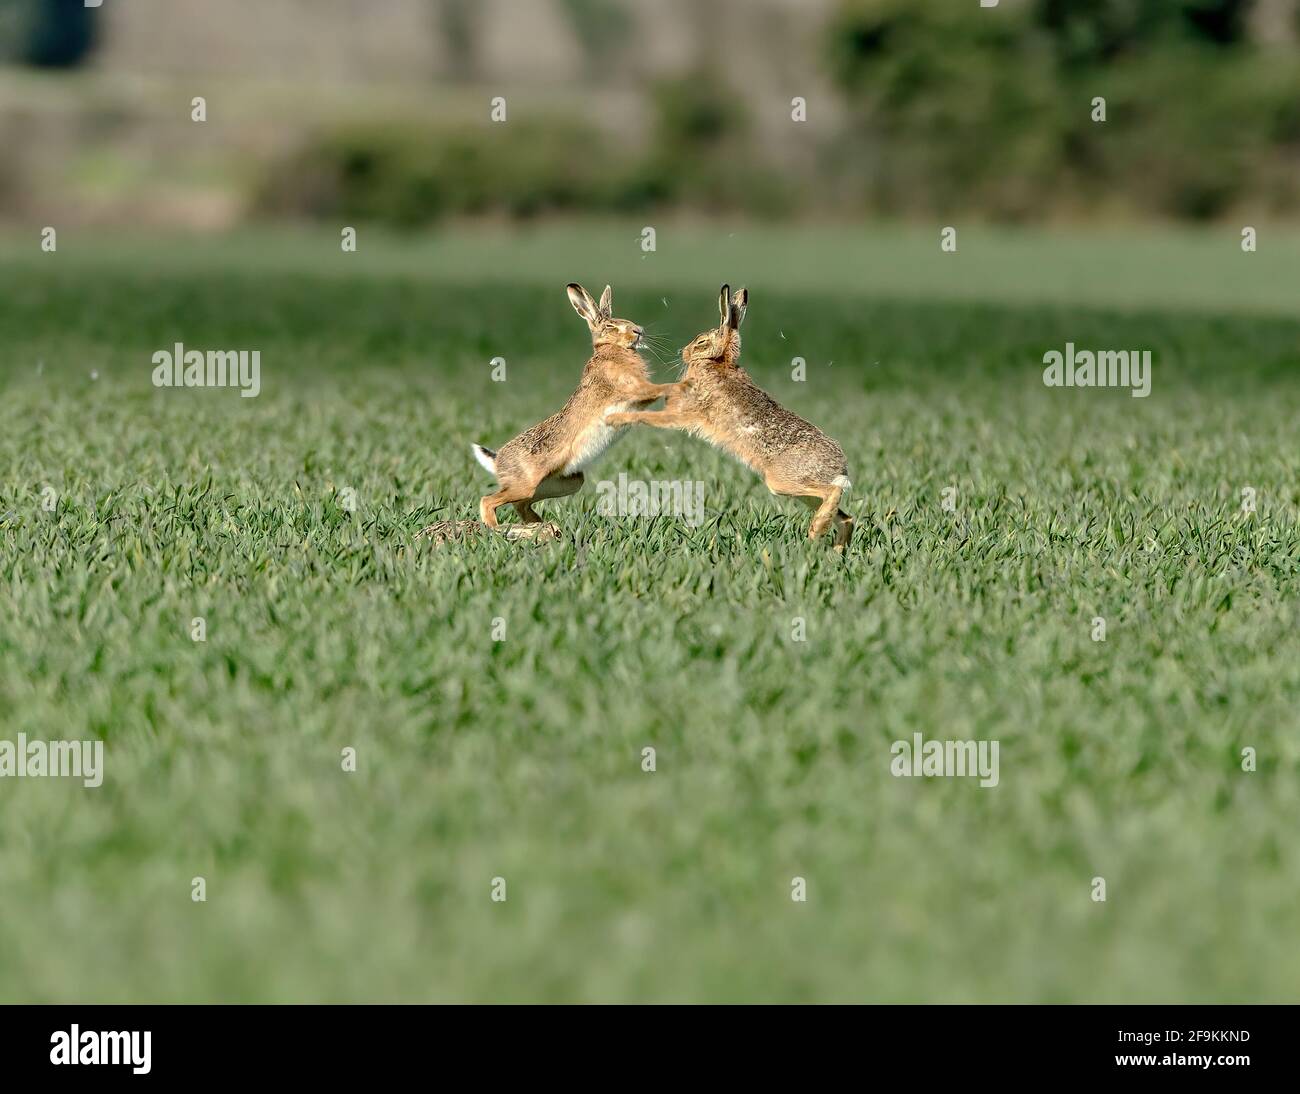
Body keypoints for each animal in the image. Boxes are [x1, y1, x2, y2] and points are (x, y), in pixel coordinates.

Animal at [471, 283, 677, 530]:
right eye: (610, 326)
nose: (639, 331)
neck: (611, 350)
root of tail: (497, 460)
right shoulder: (634, 389)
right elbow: (659, 388)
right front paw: (684, 385)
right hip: (527, 484)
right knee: (488, 500)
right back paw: (496, 529)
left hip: (563, 483)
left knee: (520, 504)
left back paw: (540, 525)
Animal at [606, 285, 854, 550]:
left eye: (701, 342)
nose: (684, 352)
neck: (717, 362)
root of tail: (839, 466)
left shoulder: (680, 414)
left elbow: (648, 416)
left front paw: (615, 418)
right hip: (802, 493)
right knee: (846, 518)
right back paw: (835, 550)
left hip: (783, 482)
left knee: (833, 493)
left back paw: (816, 531)